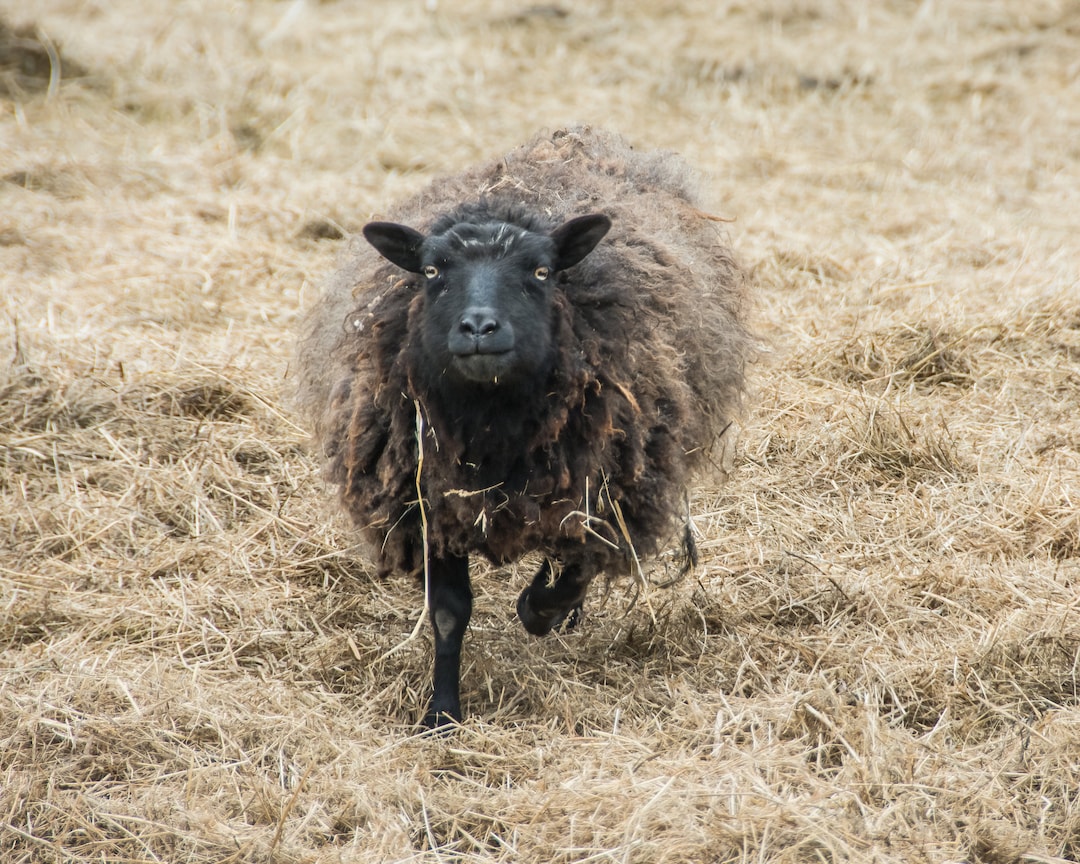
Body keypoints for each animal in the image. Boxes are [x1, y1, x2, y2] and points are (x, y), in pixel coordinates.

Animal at [295, 127, 754, 727]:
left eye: (541, 271)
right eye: (433, 271)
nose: (479, 326)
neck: (494, 428)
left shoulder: (608, 496)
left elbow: (565, 580)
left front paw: (540, 611)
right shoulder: (432, 503)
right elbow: (449, 614)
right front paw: (441, 714)